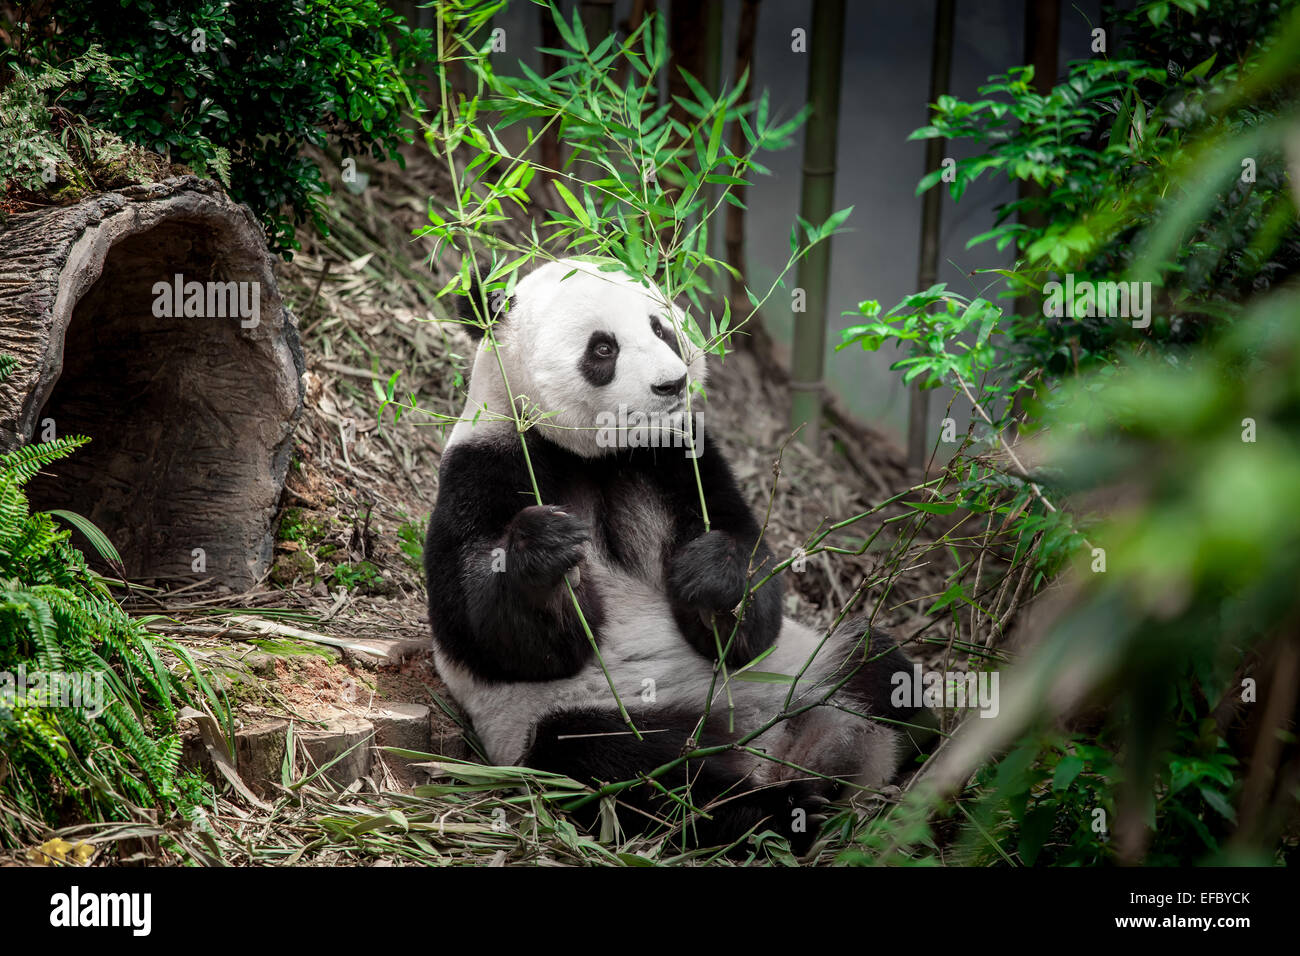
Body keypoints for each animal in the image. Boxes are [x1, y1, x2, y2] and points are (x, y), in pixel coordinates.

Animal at [424, 257, 923, 851]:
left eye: (661, 328)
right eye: (603, 348)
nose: (673, 383)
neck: (596, 456)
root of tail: (769, 746)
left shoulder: (679, 459)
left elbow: (748, 588)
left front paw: (712, 574)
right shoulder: (485, 467)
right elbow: (490, 635)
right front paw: (545, 551)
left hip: (806, 662)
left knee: (878, 670)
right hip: (567, 717)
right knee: (627, 766)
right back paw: (781, 809)